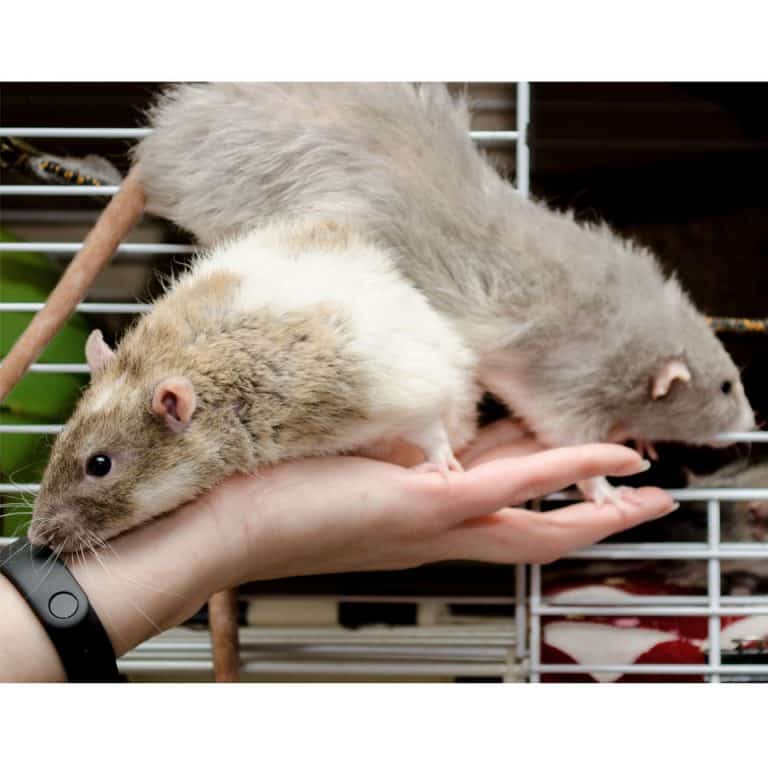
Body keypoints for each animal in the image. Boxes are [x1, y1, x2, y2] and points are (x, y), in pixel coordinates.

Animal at [28, 219, 478, 551]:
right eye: (59, 442)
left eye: (99, 465)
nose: (36, 538)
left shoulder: (375, 390)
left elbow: (426, 418)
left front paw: (439, 458)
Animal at [132, 83, 755, 504]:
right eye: (726, 386)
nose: (752, 424)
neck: (630, 329)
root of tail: (169, 144)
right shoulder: (566, 391)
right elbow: (569, 443)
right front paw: (607, 489)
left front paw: (641, 440)